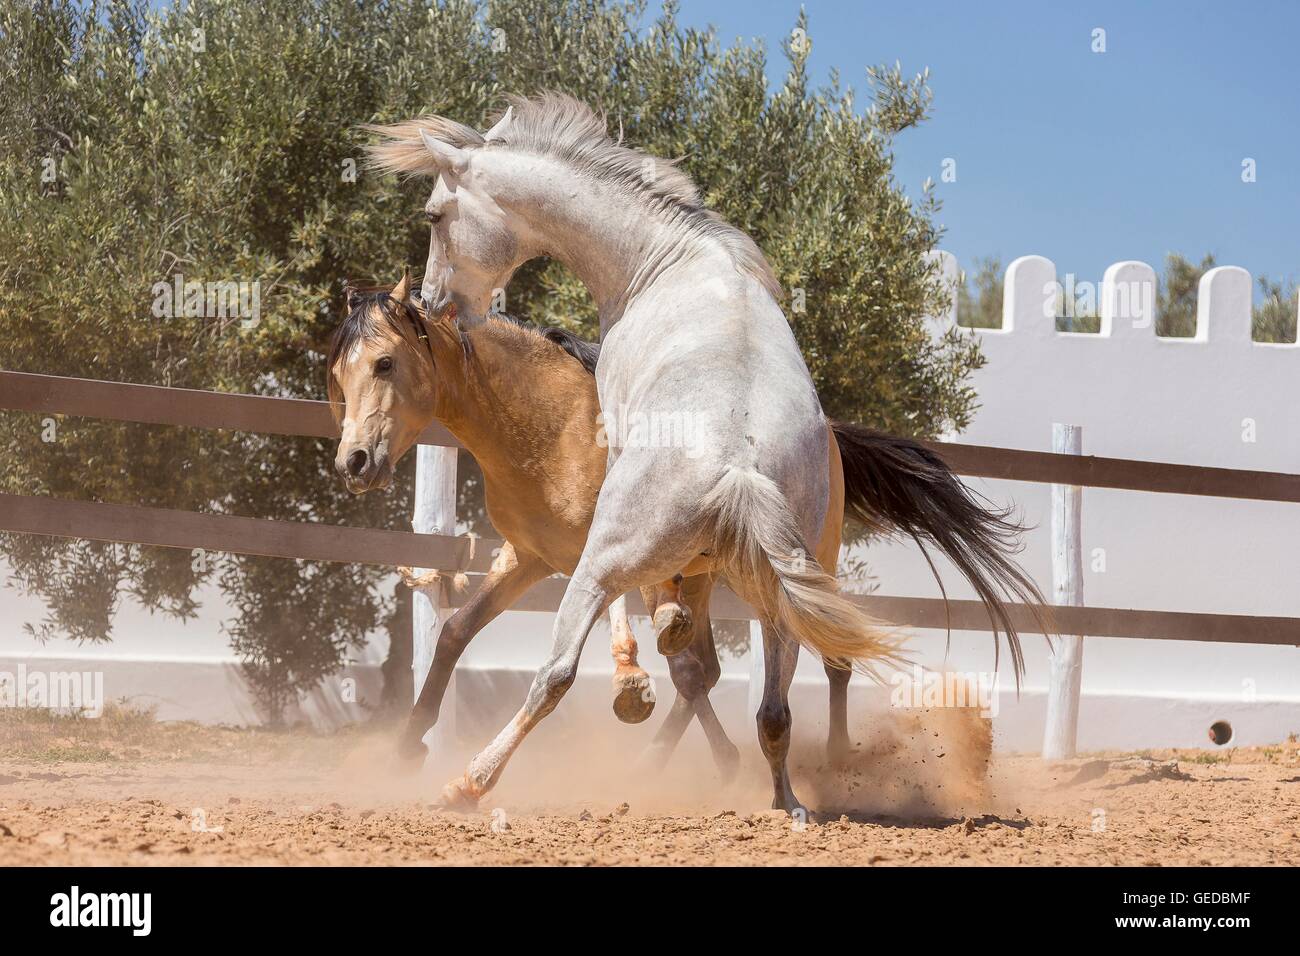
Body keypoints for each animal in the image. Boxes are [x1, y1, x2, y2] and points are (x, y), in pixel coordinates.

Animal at [363, 94, 1049, 814]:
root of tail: (737, 470)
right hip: (780, 600)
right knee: (774, 708)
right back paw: (788, 800)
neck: (665, 260)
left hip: (600, 570)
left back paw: (471, 781)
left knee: (559, 673)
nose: (435, 304)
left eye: (435, 215)